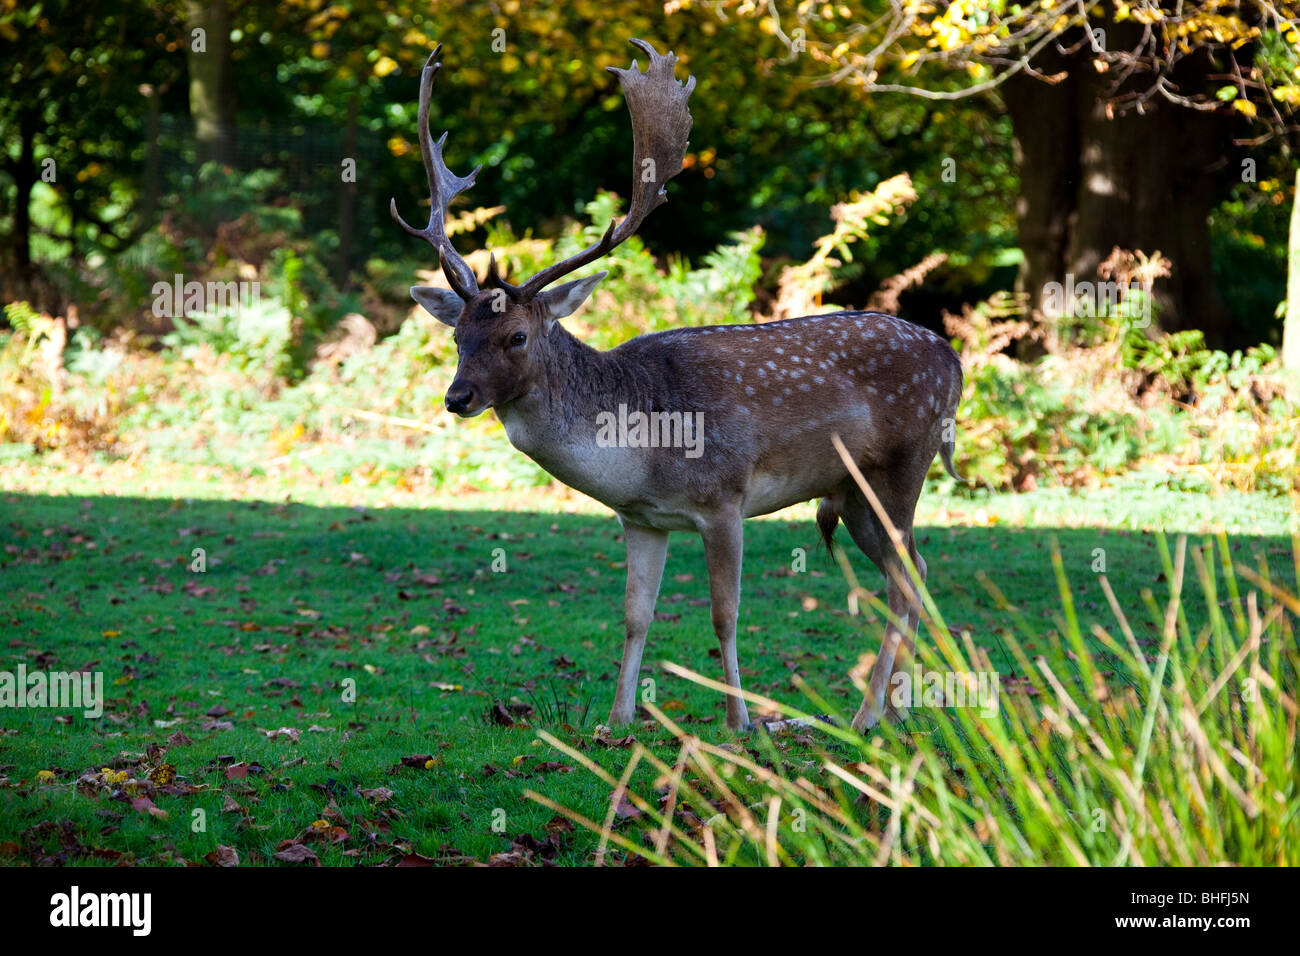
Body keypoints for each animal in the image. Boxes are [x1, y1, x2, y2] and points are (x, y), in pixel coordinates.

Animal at [391, 40, 965, 733]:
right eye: (457, 337)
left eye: (517, 337)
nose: (458, 397)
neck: (640, 450)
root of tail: (955, 361)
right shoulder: (641, 519)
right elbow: (635, 615)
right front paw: (617, 721)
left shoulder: (725, 498)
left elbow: (725, 615)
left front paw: (740, 723)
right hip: (851, 494)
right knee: (915, 570)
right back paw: (897, 712)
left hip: (904, 464)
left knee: (907, 575)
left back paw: (866, 716)